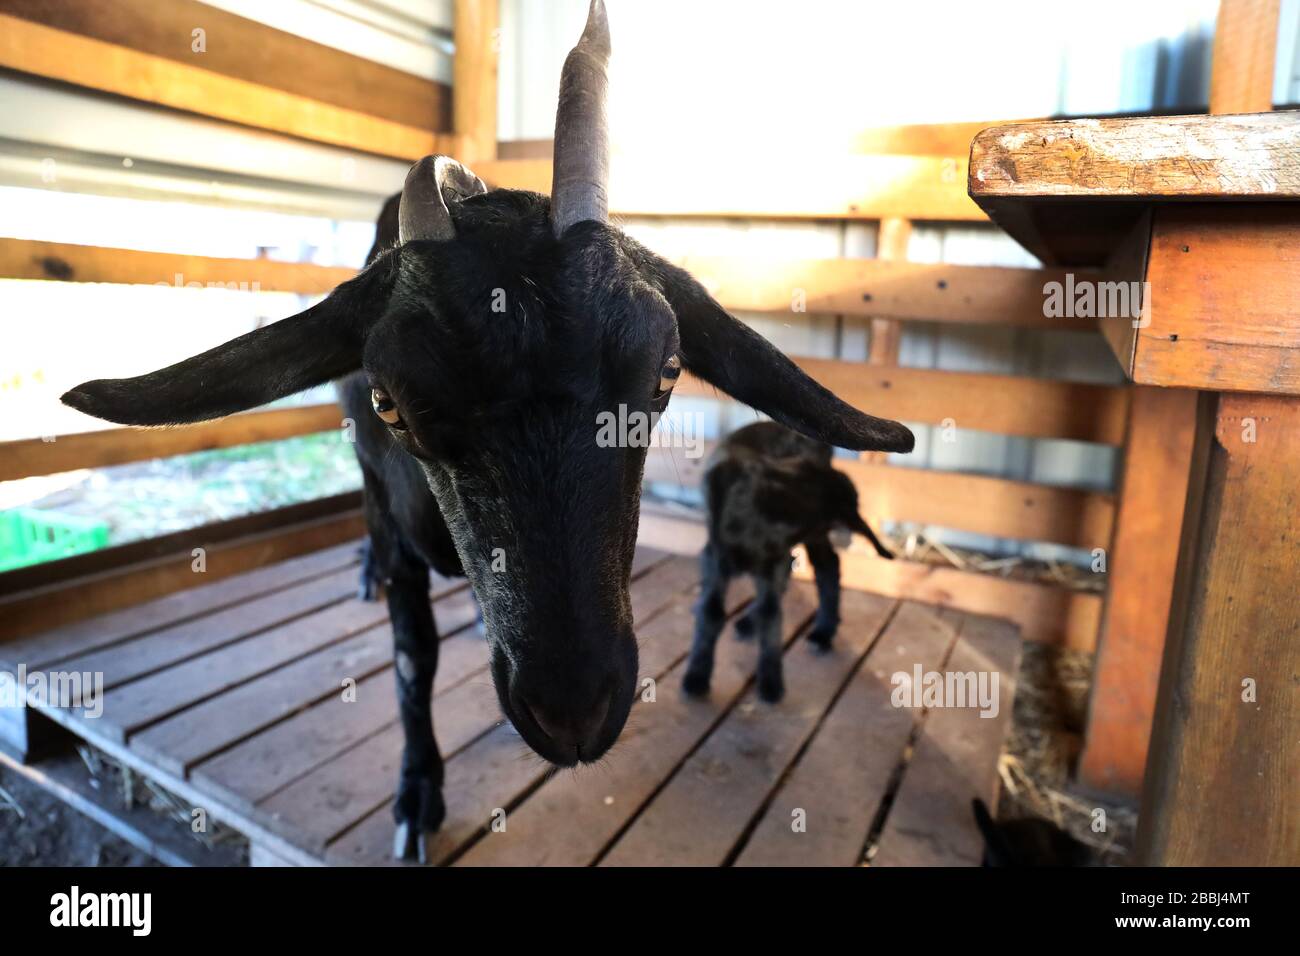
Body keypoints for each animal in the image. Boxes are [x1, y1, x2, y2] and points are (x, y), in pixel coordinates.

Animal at [682, 421, 895, 703]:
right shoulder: (718, 557)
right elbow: (712, 611)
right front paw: (696, 676)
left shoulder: (774, 561)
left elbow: (772, 617)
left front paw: (771, 683)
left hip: (810, 541)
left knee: (827, 567)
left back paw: (822, 633)